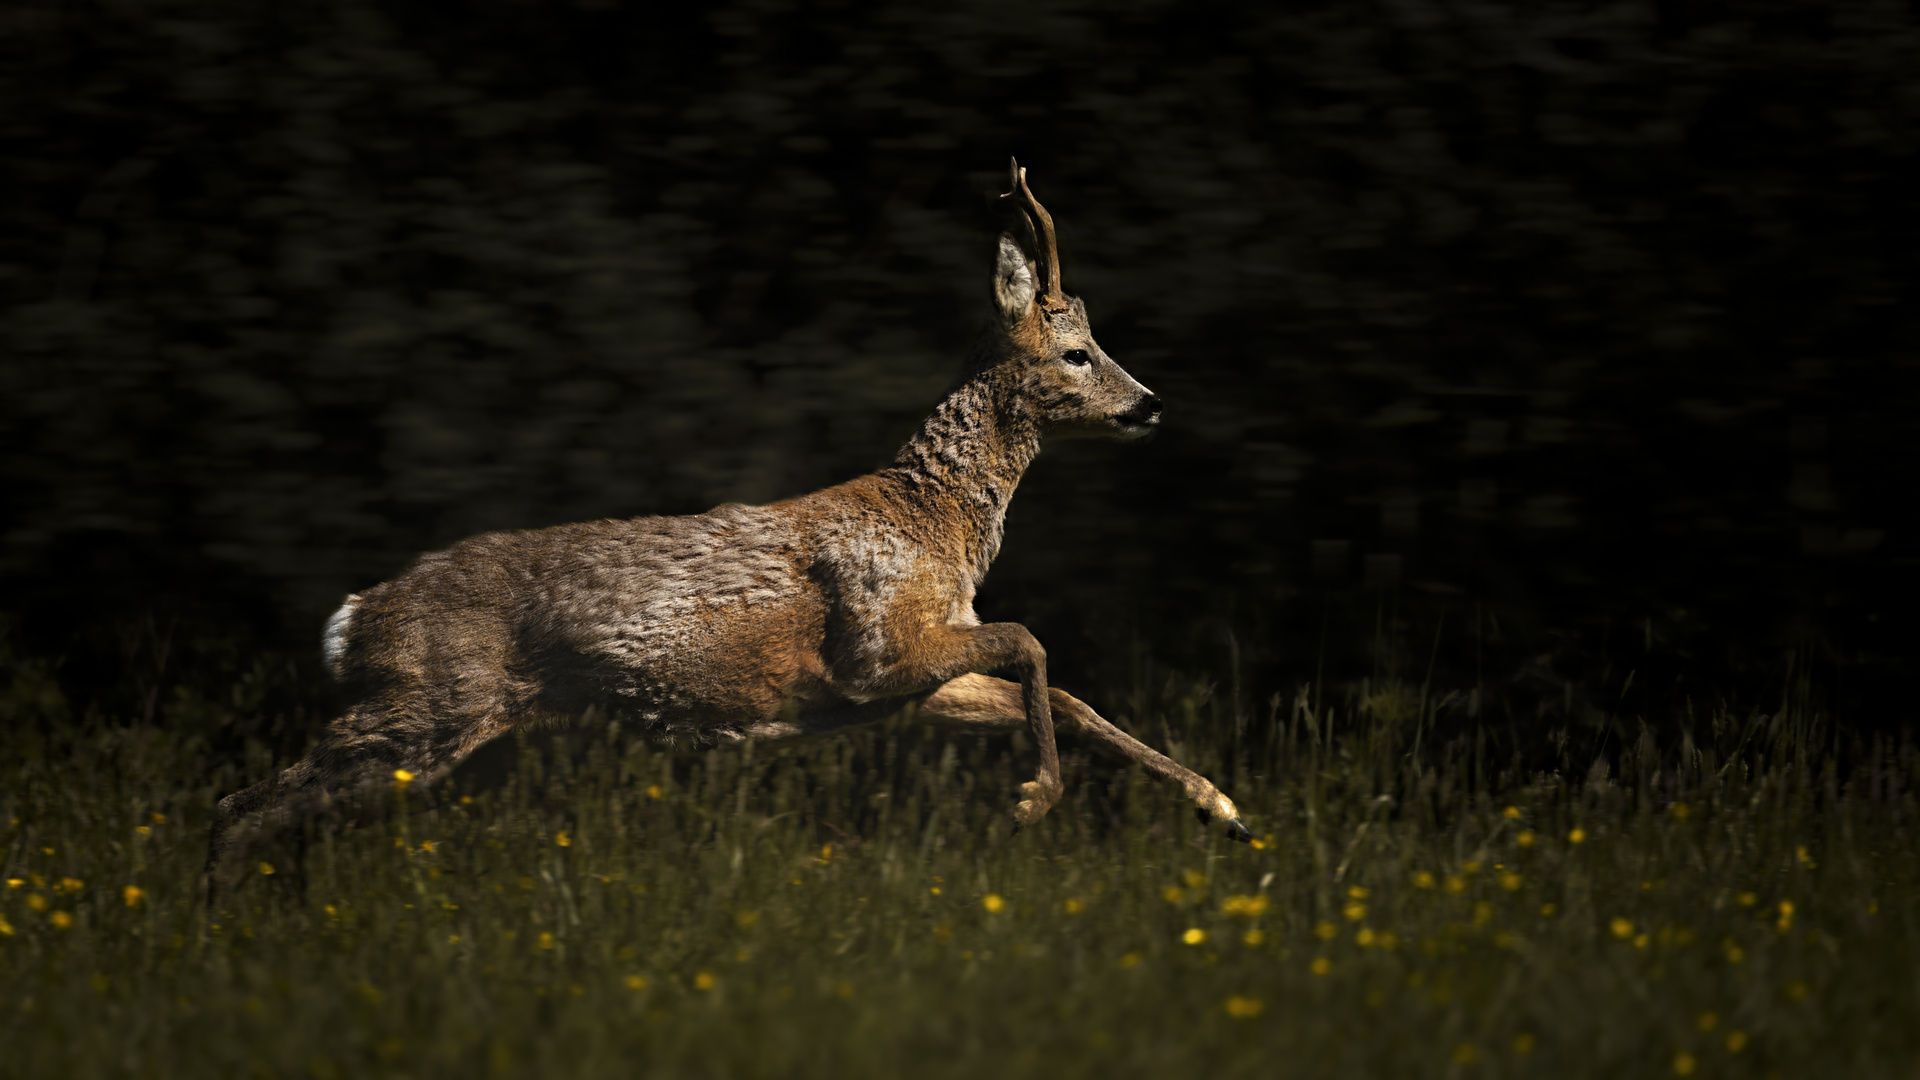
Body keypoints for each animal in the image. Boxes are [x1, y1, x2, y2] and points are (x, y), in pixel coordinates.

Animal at [204, 159, 1250, 905]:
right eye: (1076, 353)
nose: (1151, 404)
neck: (936, 525)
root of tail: (352, 616)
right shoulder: (875, 650)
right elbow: (1034, 642)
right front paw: (1035, 801)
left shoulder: (904, 686)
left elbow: (1063, 693)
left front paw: (1224, 809)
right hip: (425, 708)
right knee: (237, 804)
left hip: (420, 721)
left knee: (250, 805)